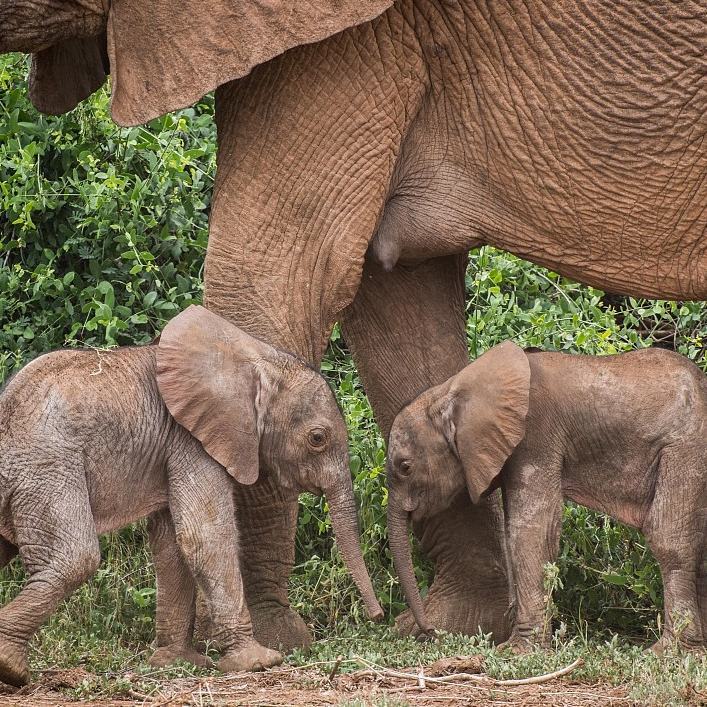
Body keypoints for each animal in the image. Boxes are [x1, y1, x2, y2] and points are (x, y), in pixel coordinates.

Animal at [0, 304, 382, 687]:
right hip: (47, 465)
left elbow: (171, 545)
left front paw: (177, 662)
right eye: (318, 438)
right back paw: (11, 667)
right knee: (74, 559)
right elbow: (205, 537)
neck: (254, 359)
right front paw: (259, 662)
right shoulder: (192, 441)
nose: (378, 617)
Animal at [386, 341, 707, 652]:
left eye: (405, 467)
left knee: (667, 537)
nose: (430, 632)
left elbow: (531, 532)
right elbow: (512, 532)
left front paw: (519, 650)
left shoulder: (535, 436)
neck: (451, 390)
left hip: (685, 447)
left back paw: (669, 651)